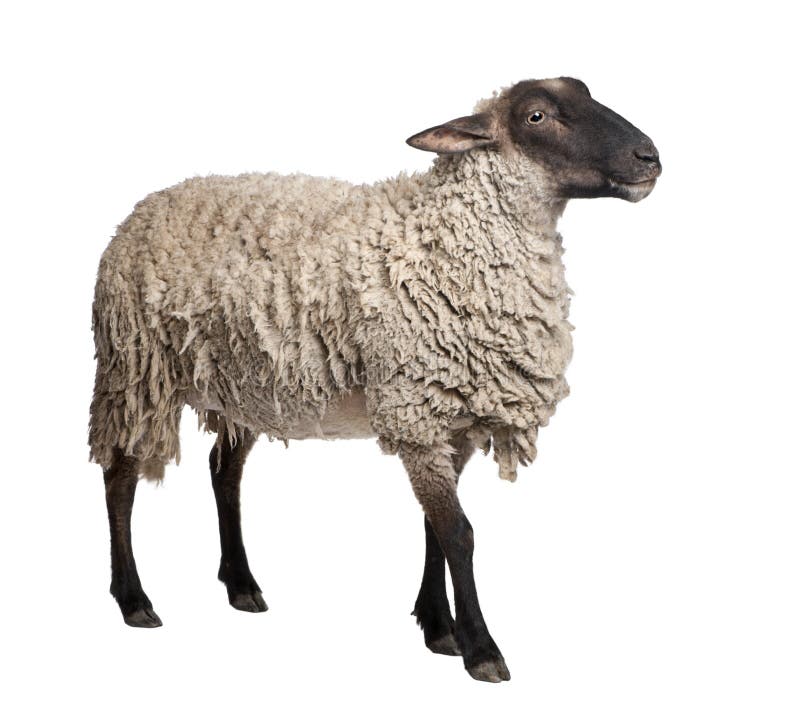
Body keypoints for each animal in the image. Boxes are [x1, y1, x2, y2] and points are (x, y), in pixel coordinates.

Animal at [89, 76, 660, 682]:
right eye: (536, 116)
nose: (649, 157)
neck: (449, 242)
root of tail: (142, 209)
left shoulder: (451, 421)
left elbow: (436, 527)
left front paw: (438, 626)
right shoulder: (414, 414)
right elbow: (459, 533)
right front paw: (481, 649)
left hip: (243, 382)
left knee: (224, 473)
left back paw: (241, 585)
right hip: (133, 371)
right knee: (120, 478)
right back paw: (134, 599)